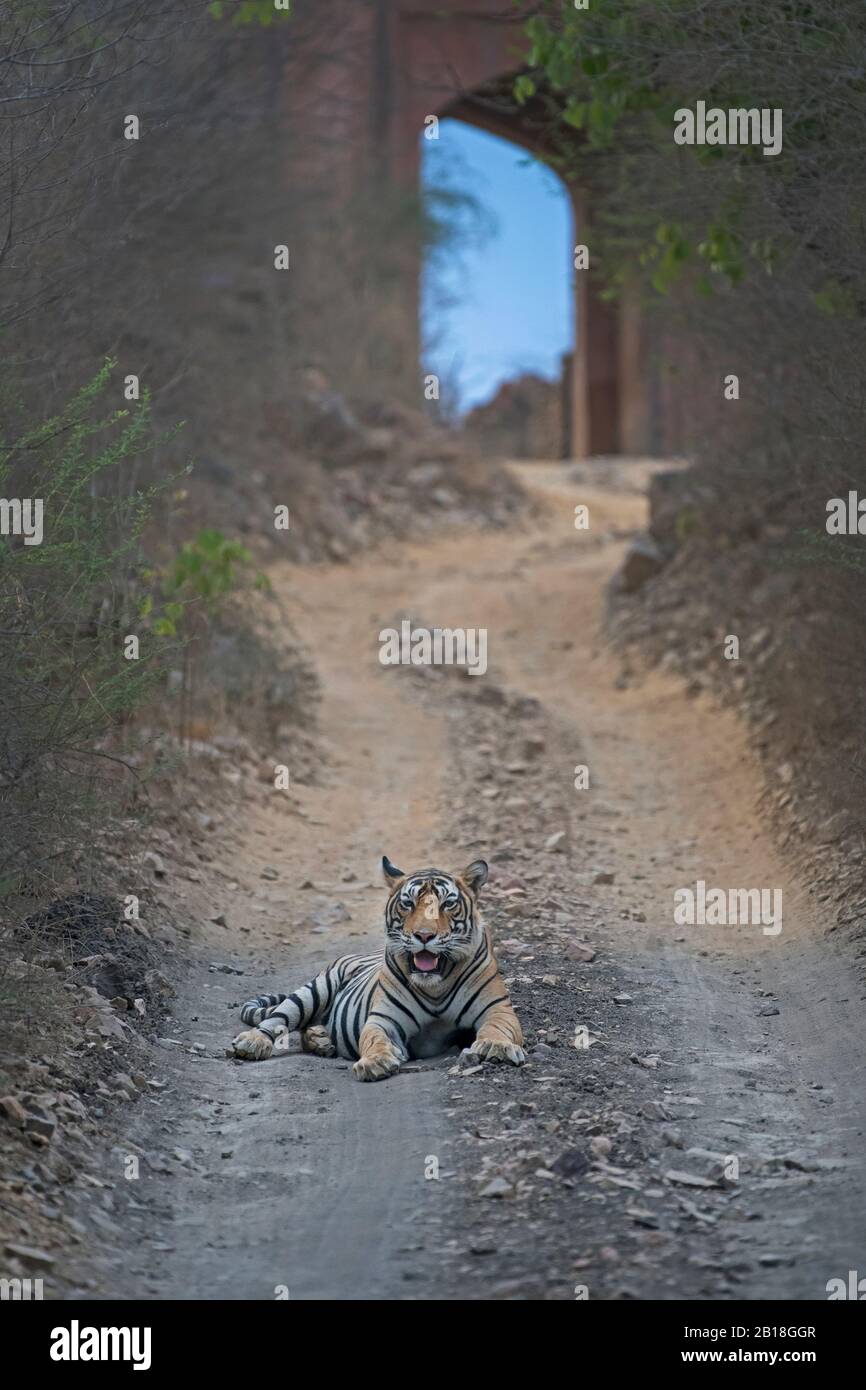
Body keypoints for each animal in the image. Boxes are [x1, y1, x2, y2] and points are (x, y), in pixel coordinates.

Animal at [230, 855, 525, 1082]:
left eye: (447, 904)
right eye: (408, 904)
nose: (424, 935)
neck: (435, 986)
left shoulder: (497, 1009)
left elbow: (498, 1028)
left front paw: (496, 1046)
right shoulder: (383, 1019)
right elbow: (373, 1039)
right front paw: (374, 1063)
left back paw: (321, 1040)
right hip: (314, 991)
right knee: (279, 1017)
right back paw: (252, 1042)